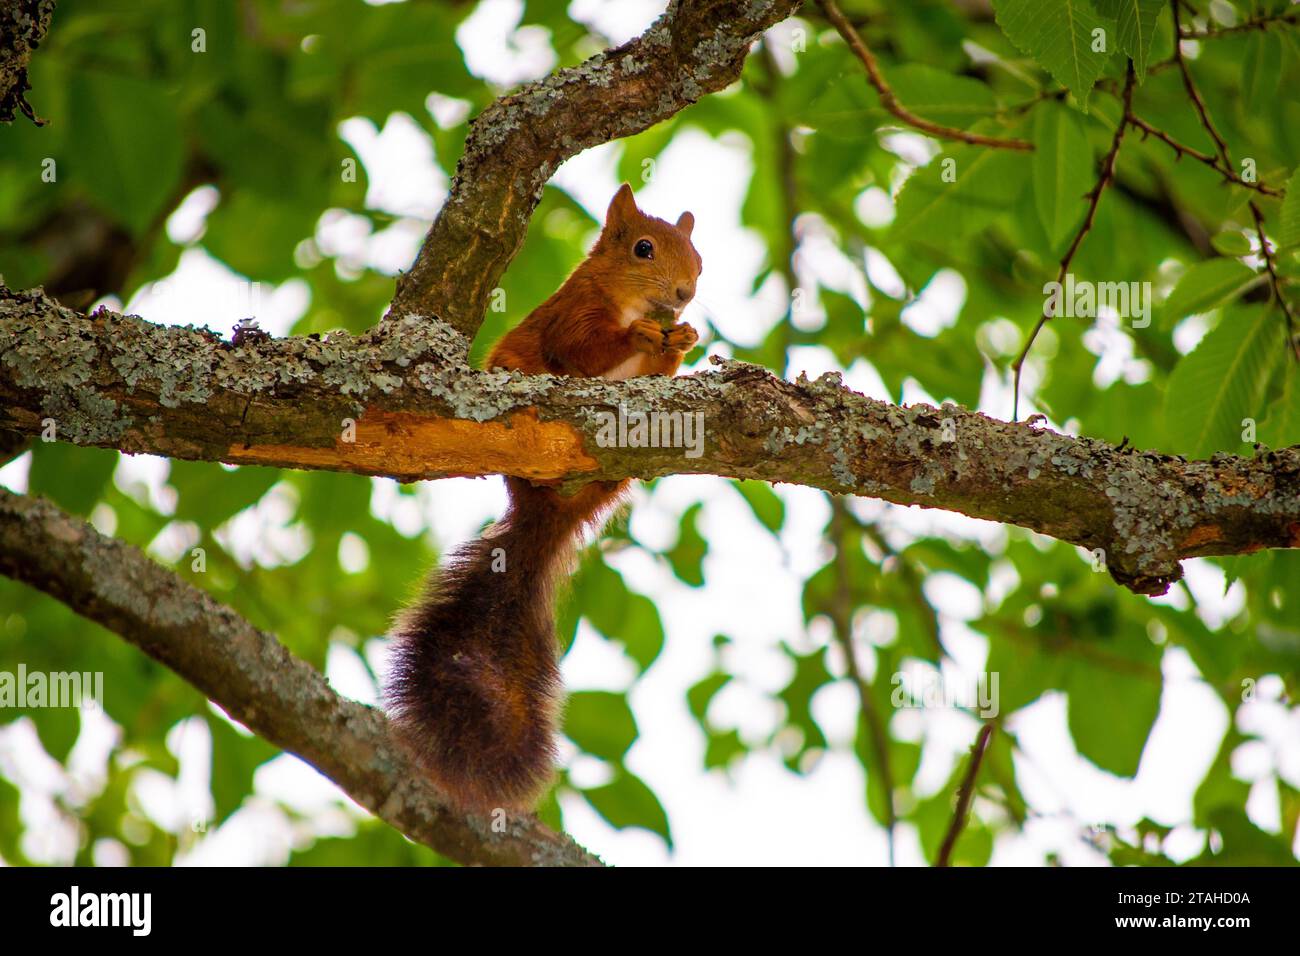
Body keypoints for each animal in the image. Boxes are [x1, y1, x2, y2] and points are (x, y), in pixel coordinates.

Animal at [384, 183, 702, 813]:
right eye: (644, 248)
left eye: (698, 258)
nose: (684, 294)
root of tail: (546, 515)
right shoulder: (569, 314)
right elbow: (582, 348)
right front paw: (638, 336)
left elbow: (660, 368)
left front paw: (683, 338)